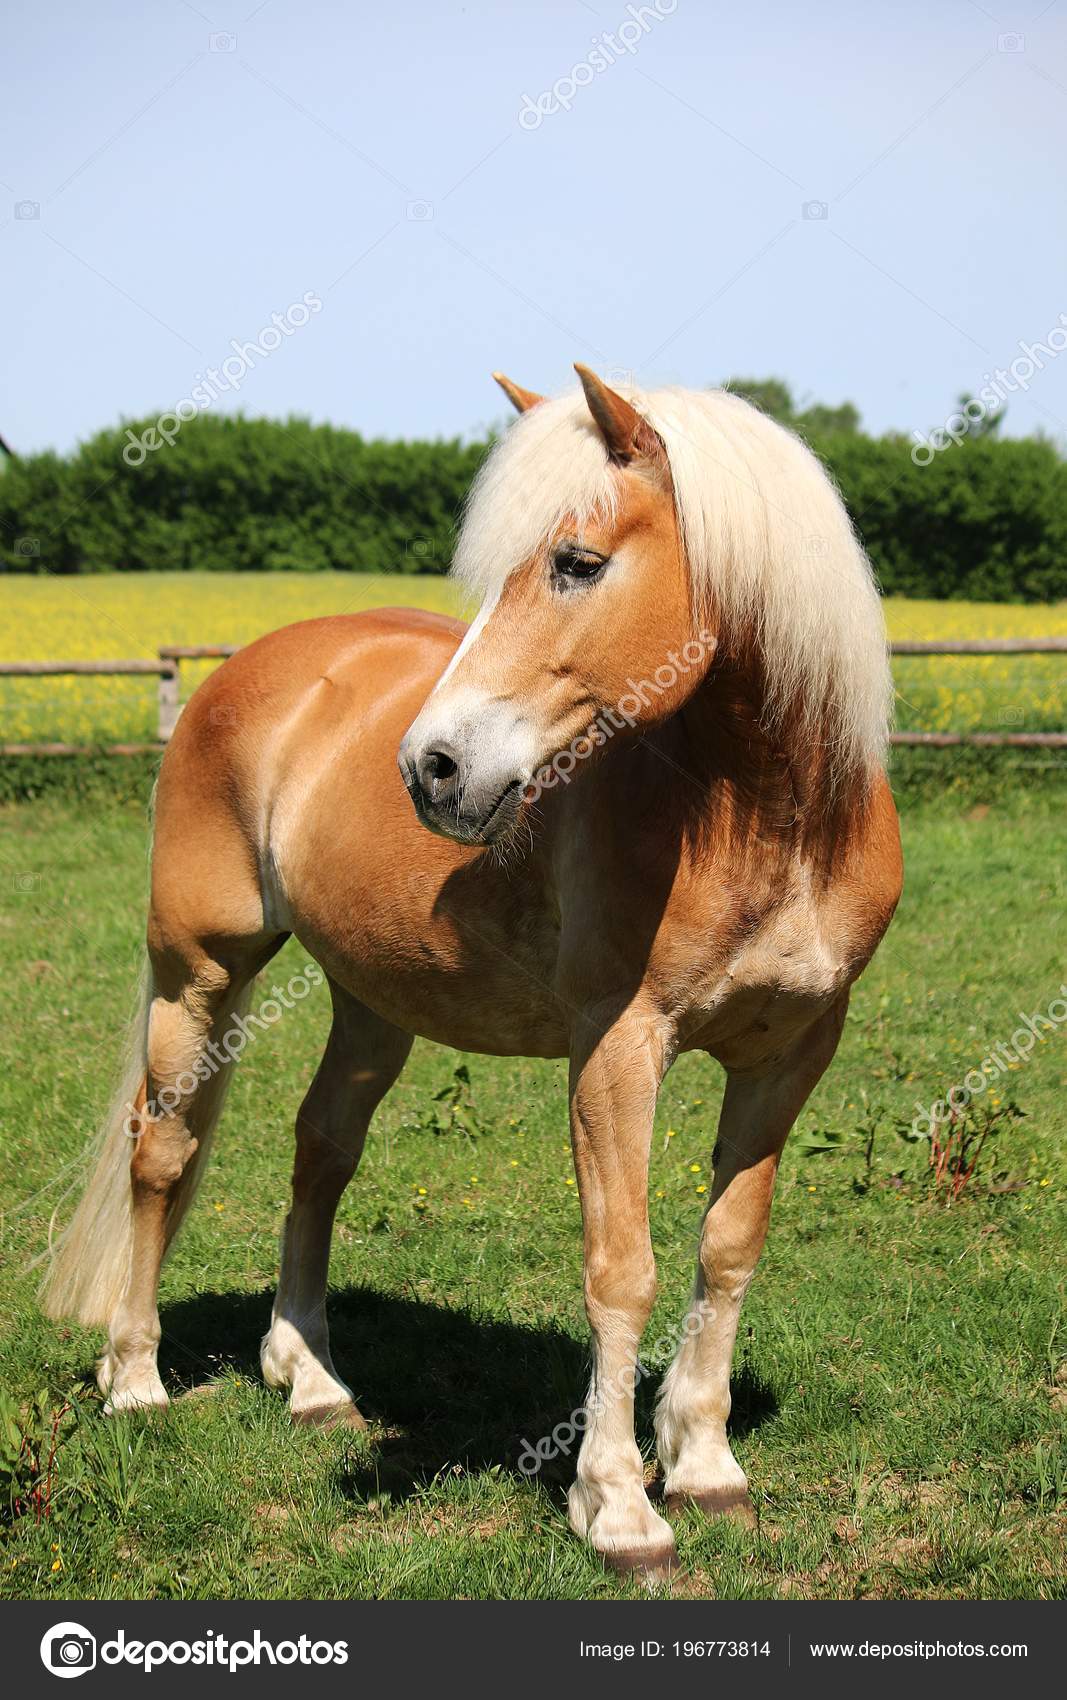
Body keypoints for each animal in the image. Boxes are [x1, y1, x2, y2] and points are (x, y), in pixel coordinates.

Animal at [41, 367, 903, 1581]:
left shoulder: (791, 1054)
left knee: (320, 1150)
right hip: (198, 974)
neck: (762, 822)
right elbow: (622, 1267)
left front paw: (703, 1463)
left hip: (371, 1001)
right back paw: (133, 1380)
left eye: (577, 561)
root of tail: (249, 669)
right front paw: (619, 1507)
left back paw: (309, 1378)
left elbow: (727, 1250)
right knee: (160, 1154)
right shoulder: (616, 1051)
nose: (431, 768)